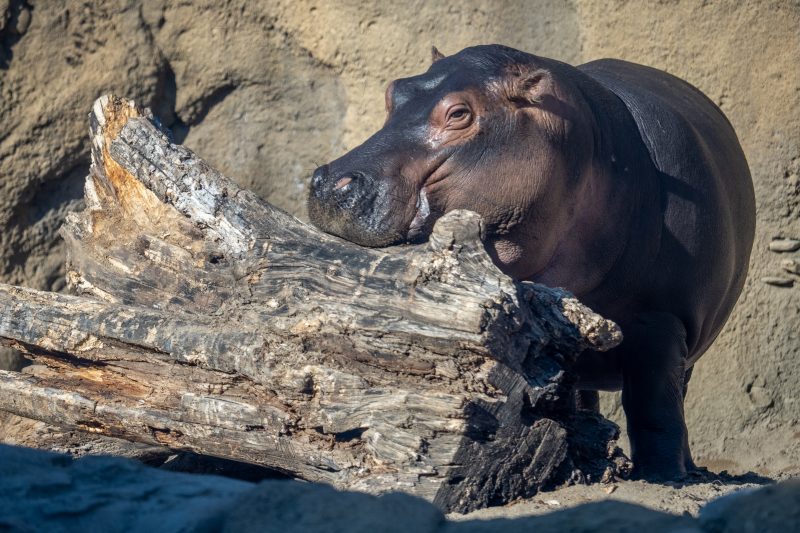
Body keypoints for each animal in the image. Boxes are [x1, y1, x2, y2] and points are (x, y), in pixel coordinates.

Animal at [307, 45, 756, 480]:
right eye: (393, 90)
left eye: (459, 113)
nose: (329, 184)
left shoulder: (661, 317)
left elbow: (655, 406)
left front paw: (663, 476)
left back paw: (689, 470)